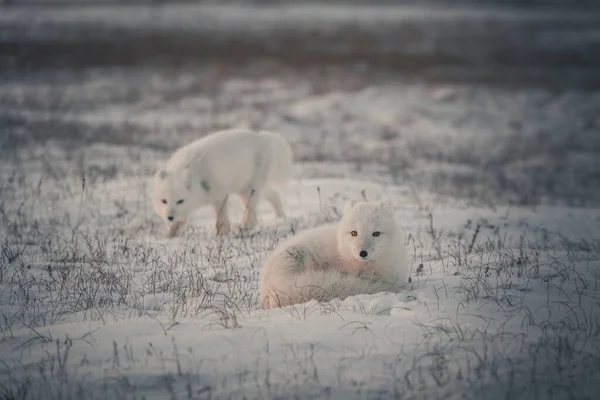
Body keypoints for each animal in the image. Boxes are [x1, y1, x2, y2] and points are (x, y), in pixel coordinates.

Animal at [152, 128, 292, 236]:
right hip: (246, 188)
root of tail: (263, 137)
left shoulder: (219, 195)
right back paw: (280, 218)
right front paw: (170, 236)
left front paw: (222, 234)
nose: (169, 217)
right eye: (164, 201)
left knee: (252, 212)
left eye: (180, 201)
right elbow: (178, 223)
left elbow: (221, 216)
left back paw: (245, 227)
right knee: (273, 195)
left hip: (249, 190)